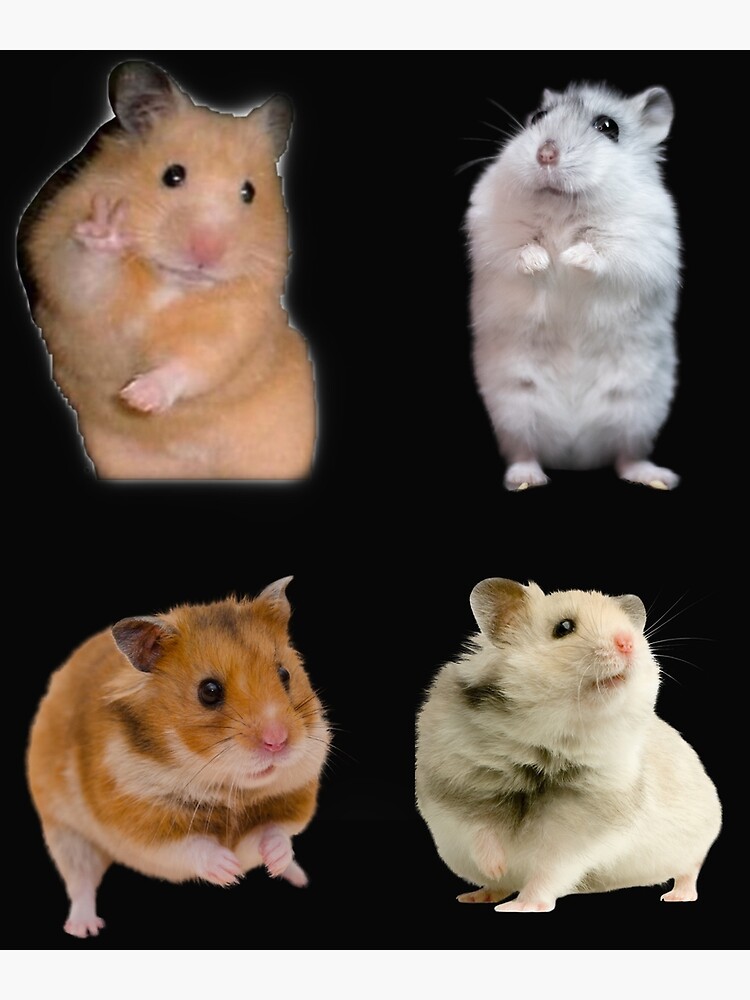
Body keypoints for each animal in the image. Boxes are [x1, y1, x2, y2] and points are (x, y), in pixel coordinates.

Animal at [18, 60, 315, 480]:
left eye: (249, 192)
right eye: (172, 175)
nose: (206, 254)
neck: (171, 283)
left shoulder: (239, 321)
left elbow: (199, 361)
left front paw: (138, 398)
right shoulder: (62, 265)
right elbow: (86, 274)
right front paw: (107, 228)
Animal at [26, 577, 330, 937]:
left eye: (285, 675)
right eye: (209, 691)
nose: (278, 742)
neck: (229, 789)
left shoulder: (289, 802)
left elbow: (274, 832)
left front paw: (271, 859)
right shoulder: (139, 824)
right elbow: (191, 845)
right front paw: (229, 871)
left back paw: (298, 877)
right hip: (67, 834)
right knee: (81, 883)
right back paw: (84, 928)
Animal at [415, 578, 721, 911]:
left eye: (630, 628)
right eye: (564, 627)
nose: (628, 642)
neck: (544, 744)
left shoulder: (577, 836)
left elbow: (548, 871)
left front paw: (520, 906)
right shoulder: (453, 792)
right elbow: (478, 830)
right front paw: (497, 868)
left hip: (693, 845)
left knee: (689, 870)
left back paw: (677, 896)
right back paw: (475, 895)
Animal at [466, 82, 681, 490]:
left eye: (608, 127)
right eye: (537, 118)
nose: (545, 154)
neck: (562, 205)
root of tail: (575, 455)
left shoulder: (640, 244)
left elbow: (601, 253)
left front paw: (567, 257)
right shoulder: (494, 229)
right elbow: (518, 249)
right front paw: (543, 261)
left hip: (639, 407)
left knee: (627, 456)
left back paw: (657, 477)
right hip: (514, 405)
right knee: (525, 450)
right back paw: (525, 479)